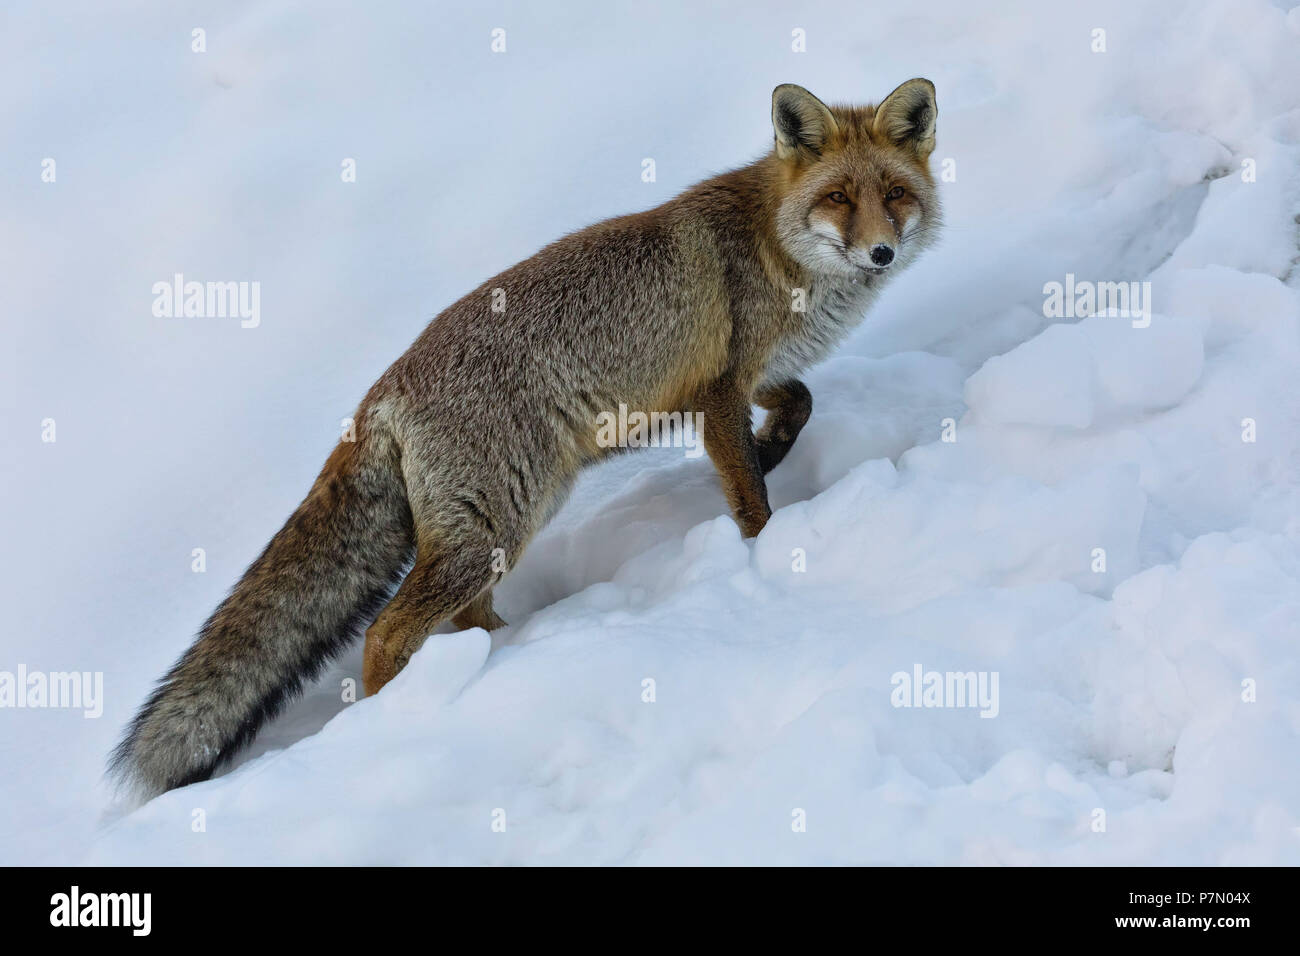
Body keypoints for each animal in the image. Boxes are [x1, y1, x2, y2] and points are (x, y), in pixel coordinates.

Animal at [111, 79, 942, 799]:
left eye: (895, 194)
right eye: (838, 198)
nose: (880, 252)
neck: (780, 249)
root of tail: (384, 389)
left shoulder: (734, 383)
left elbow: (798, 402)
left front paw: (775, 448)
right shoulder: (718, 388)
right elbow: (750, 500)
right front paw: (767, 549)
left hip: (504, 528)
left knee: (463, 620)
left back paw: (509, 658)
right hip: (494, 527)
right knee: (385, 632)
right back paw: (401, 719)